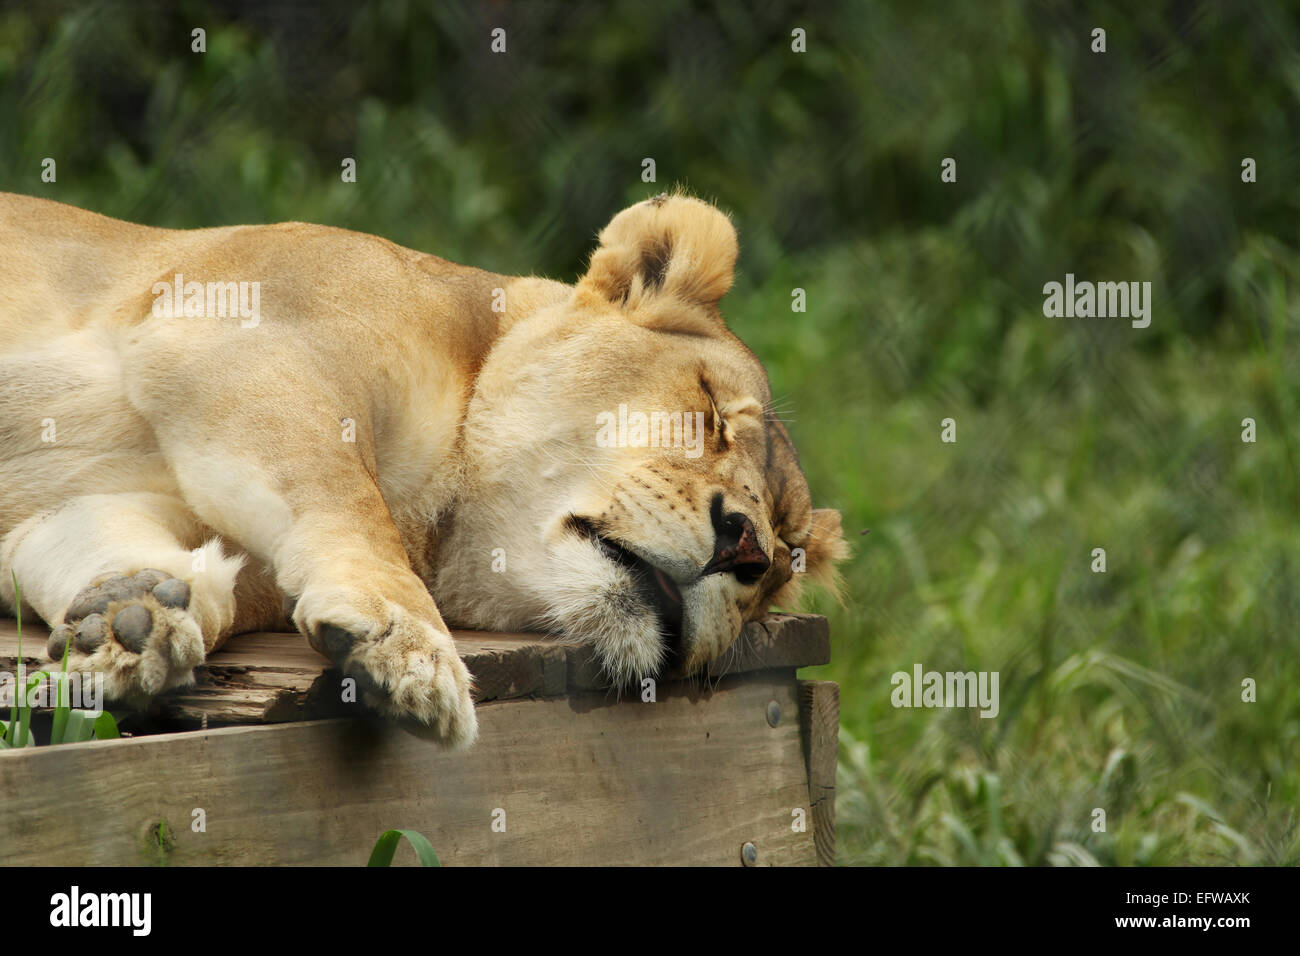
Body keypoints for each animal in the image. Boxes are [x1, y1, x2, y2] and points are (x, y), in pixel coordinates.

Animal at [0, 189, 847, 748]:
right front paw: (408, 648)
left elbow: (95, 539)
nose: (745, 548)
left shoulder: (92, 499)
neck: (439, 525)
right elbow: (347, 495)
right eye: (709, 409)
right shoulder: (238, 337)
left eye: (783, 564)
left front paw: (129, 620)